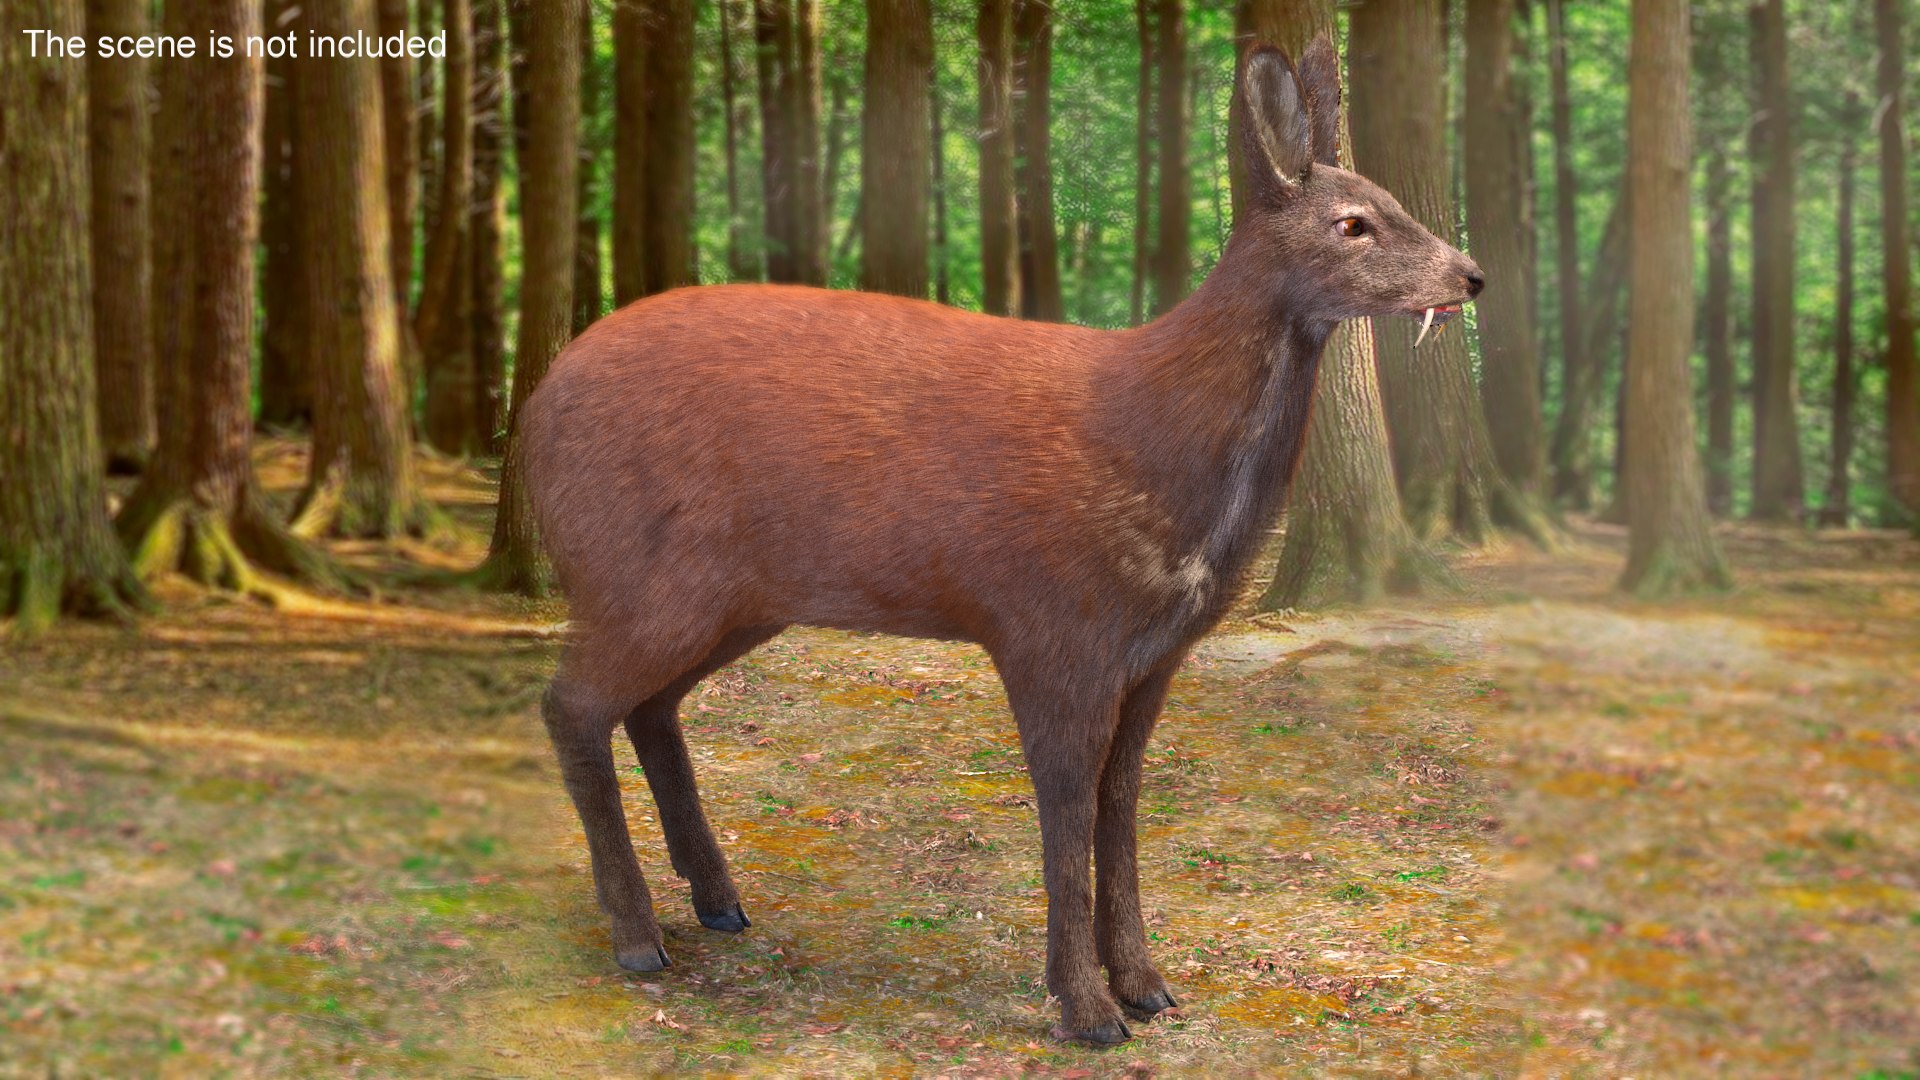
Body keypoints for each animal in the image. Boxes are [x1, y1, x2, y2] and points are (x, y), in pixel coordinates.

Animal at [519, 35, 1482, 1045]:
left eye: (1393, 200)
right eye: (1352, 223)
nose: (1471, 274)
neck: (1156, 446)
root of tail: (532, 410)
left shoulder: (1151, 656)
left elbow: (1119, 805)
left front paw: (1147, 985)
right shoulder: (1051, 627)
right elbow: (1066, 810)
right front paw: (1088, 1010)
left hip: (730, 601)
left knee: (647, 708)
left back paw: (717, 902)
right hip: (635, 572)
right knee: (570, 705)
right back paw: (637, 938)